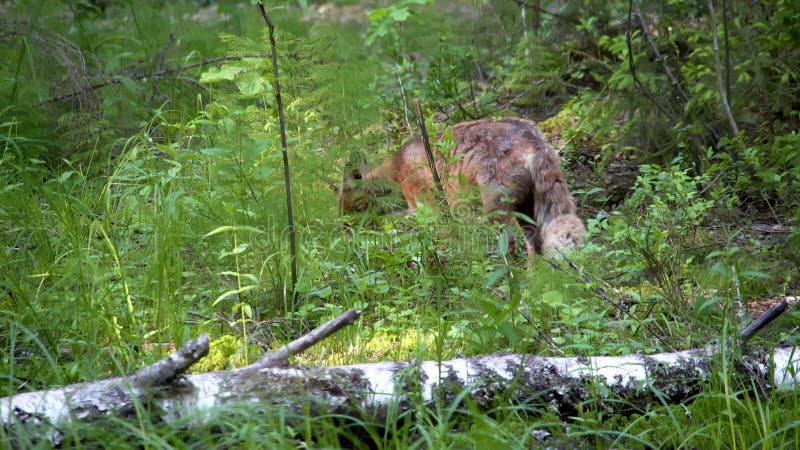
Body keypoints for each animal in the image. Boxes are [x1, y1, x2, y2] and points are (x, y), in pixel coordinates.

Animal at [338, 118, 586, 257]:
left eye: (351, 209)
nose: (342, 236)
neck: (397, 173)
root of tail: (535, 139)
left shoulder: (431, 209)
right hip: (525, 210)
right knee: (535, 247)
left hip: (494, 212)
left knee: (510, 247)